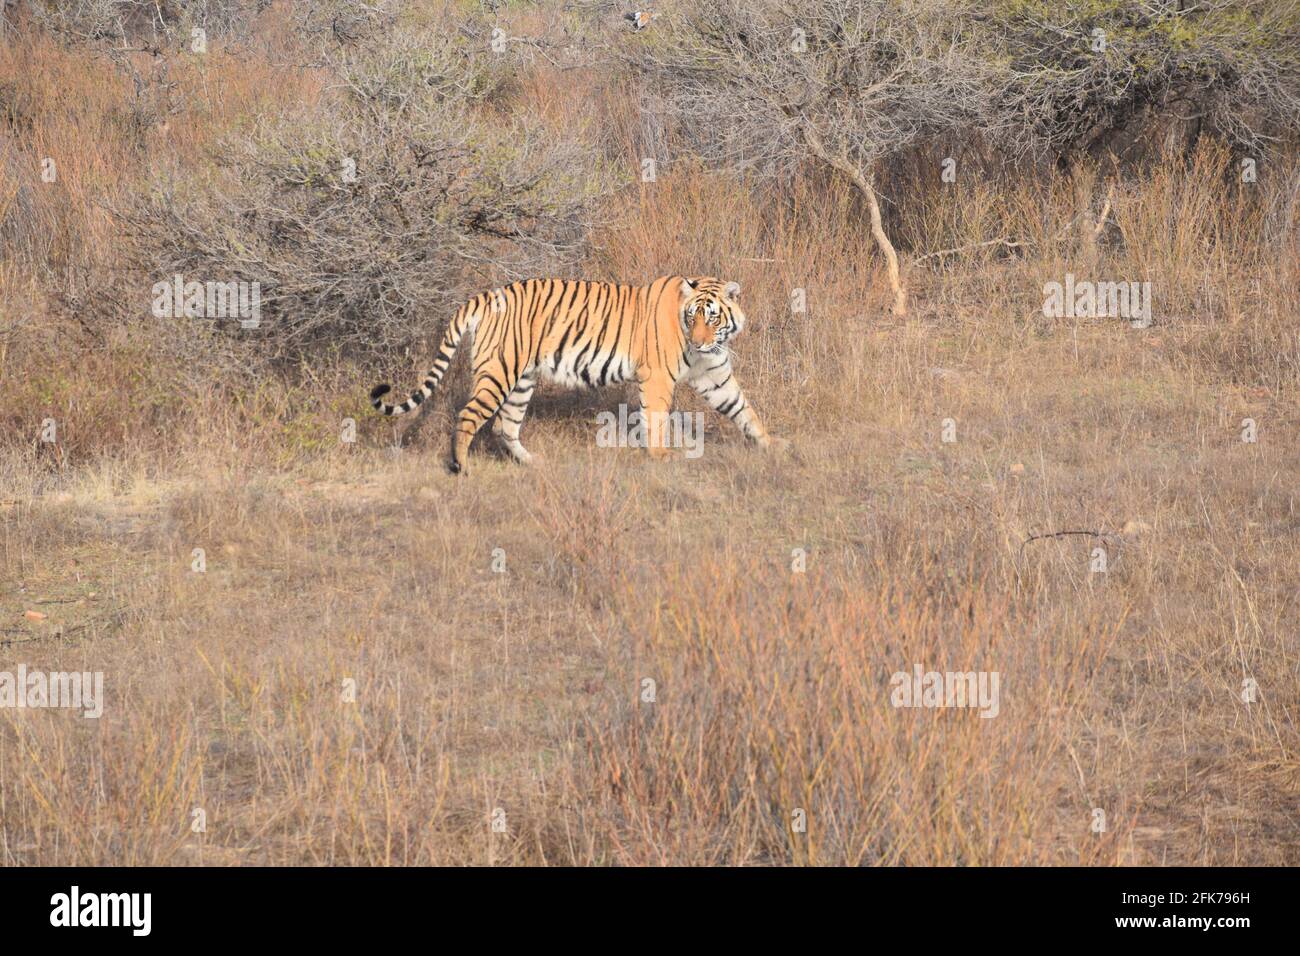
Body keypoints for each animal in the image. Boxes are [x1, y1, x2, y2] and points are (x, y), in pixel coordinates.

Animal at [369, 275, 783, 474]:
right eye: (693, 316)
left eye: (711, 317)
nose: (698, 342)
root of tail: (485, 295)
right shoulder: (657, 378)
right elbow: (656, 418)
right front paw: (661, 455)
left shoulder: (714, 374)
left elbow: (743, 408)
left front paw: (771, 444)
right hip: (499, 373)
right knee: (468, 416)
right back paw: (462, 468)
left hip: (521, 380)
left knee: (505, 424)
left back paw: (530, 463)